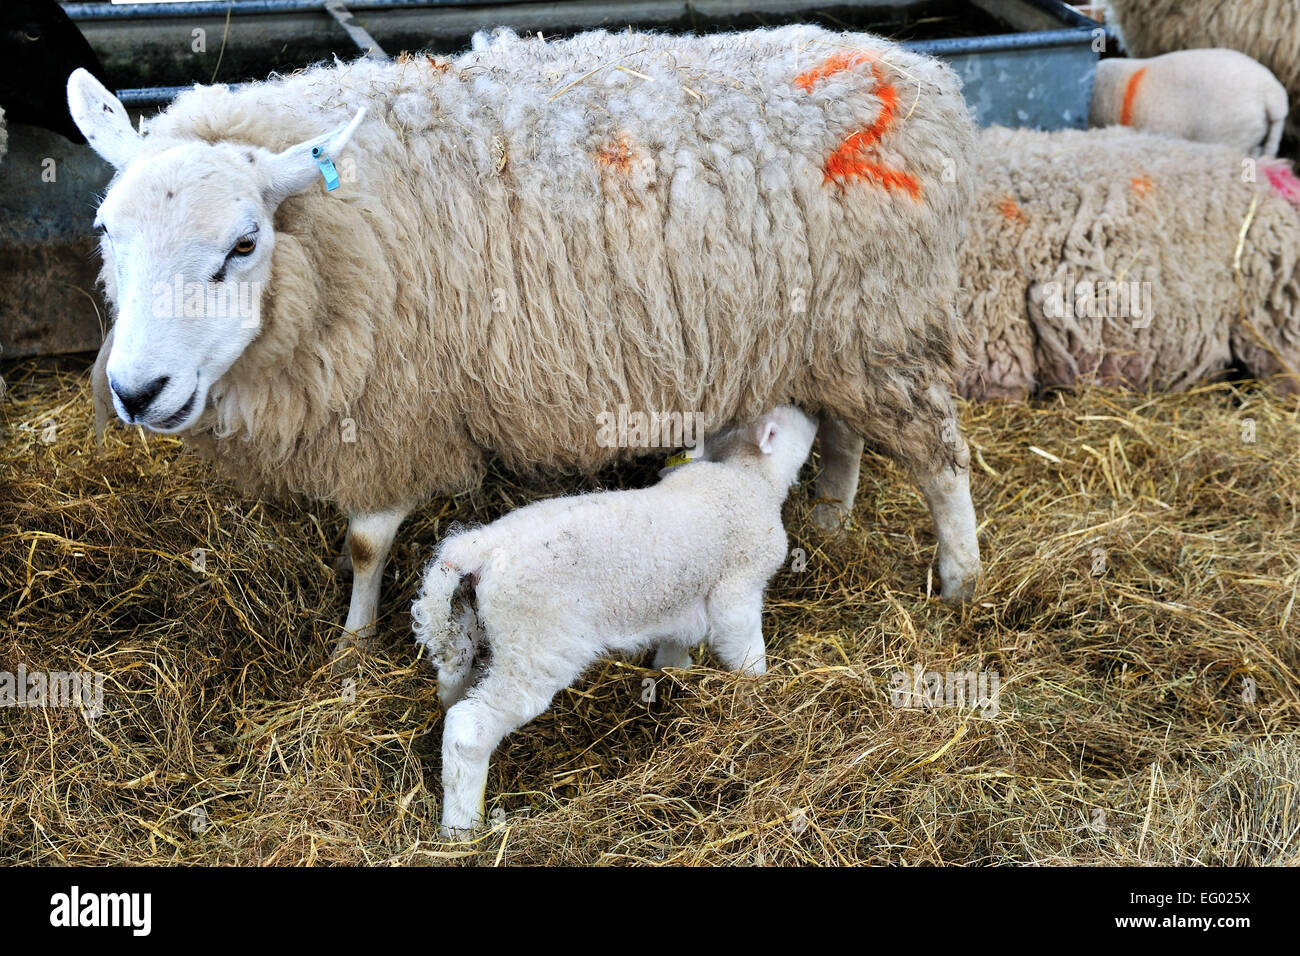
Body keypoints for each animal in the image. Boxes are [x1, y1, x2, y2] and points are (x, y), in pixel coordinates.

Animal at [68, 24, 985, 664]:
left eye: (243, 244)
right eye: (105, 229)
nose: (137, 392)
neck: (339, 232)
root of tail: (917, 73)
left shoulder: (398, 406)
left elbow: (367, 542)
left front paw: (351, 650)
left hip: (888, 325)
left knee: (941, 462)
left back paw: (961, 584)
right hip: (836, 337)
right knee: (847, 430)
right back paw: (831, 518)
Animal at [412, 404, 819, 837]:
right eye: (790, 416)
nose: (816, 414)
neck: (748, 478)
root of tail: (477, 548)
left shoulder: (685, 603)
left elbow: (675, 647)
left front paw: (674, 672)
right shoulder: (738, 588)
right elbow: (744, 649)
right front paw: (761, 695)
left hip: (468, 627)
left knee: (452, 686)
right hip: (536, 647)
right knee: (468, 729)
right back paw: (461, 828)